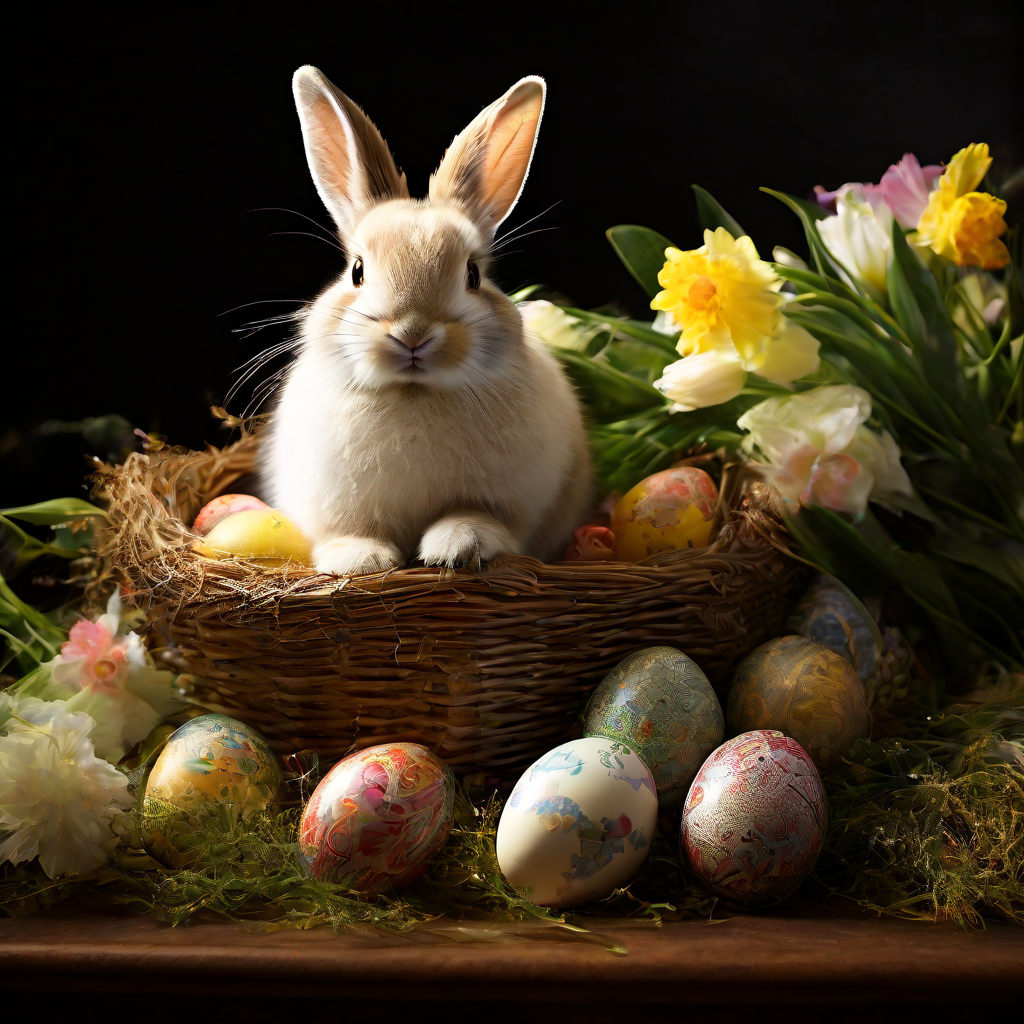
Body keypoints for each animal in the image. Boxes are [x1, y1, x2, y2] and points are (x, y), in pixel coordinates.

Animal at [261, 66, 592, 576]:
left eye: (473, 275)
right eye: (357, 272)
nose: (412, 334)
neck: (414, 392)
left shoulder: (504, 501)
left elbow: (477, 516)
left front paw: (460, 546)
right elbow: (351, 531)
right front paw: (360, 561)